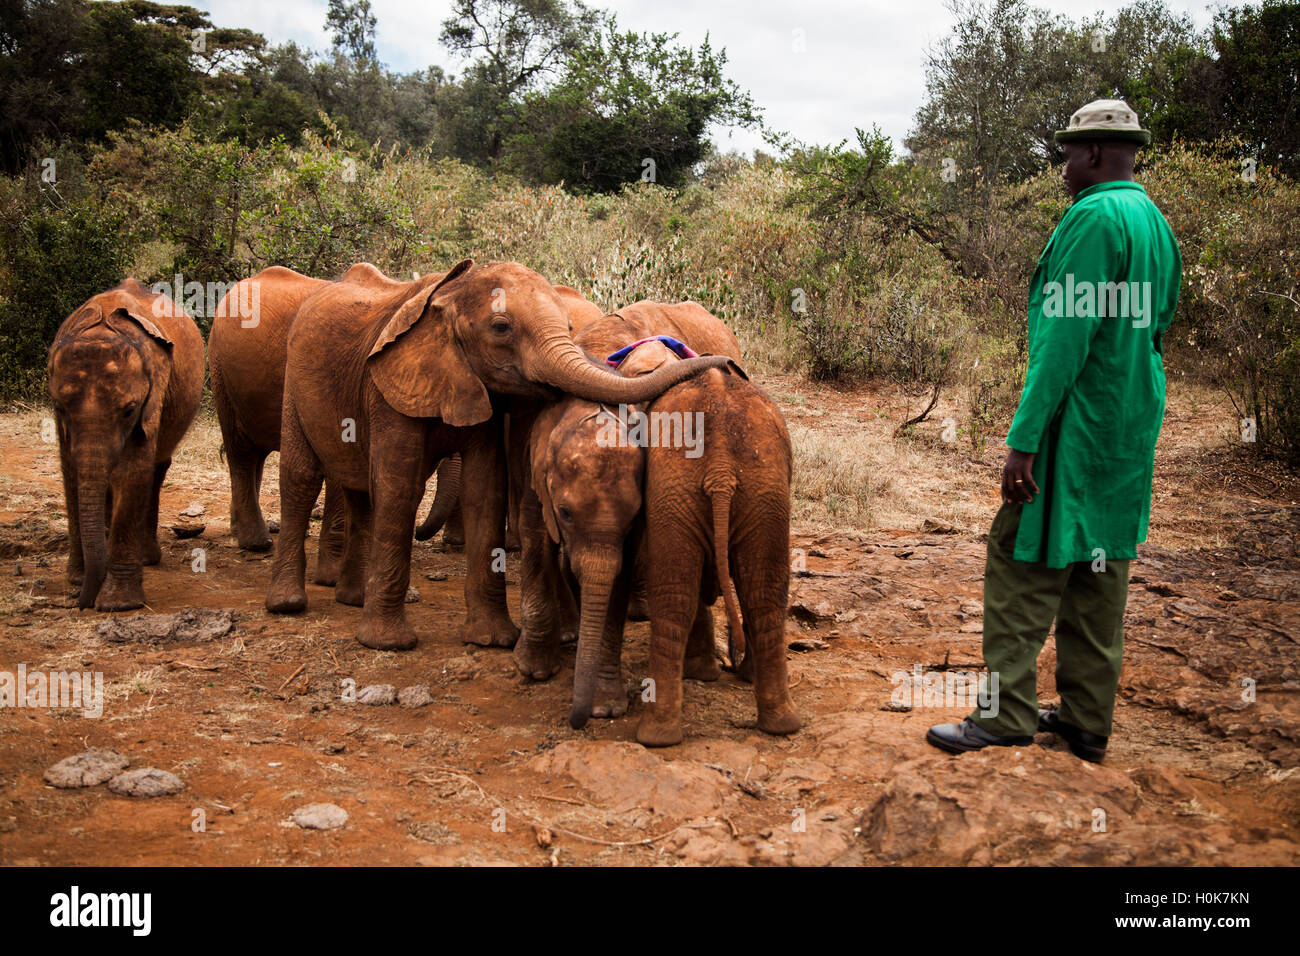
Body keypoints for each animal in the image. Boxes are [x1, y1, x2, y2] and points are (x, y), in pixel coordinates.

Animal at [47, 278, 204, 610]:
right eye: (59, 407)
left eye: (130, 410)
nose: (81, 601)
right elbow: (71, 473)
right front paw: (78, 580)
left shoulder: (154, 394)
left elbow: (131, 472)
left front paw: (118, 604)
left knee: (156, 469)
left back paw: (145, 558)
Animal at [264, 259, 730, 652]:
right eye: (501, 327)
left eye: (568, 325)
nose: (721, 362)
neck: (449, 294)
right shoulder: (389, 388)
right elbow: (399, 490)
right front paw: (388, 645)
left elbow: (483, 488)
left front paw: (492, 641)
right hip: (291, 377)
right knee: (302, 476)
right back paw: (288, 604)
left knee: (357, 487)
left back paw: (352, 598)